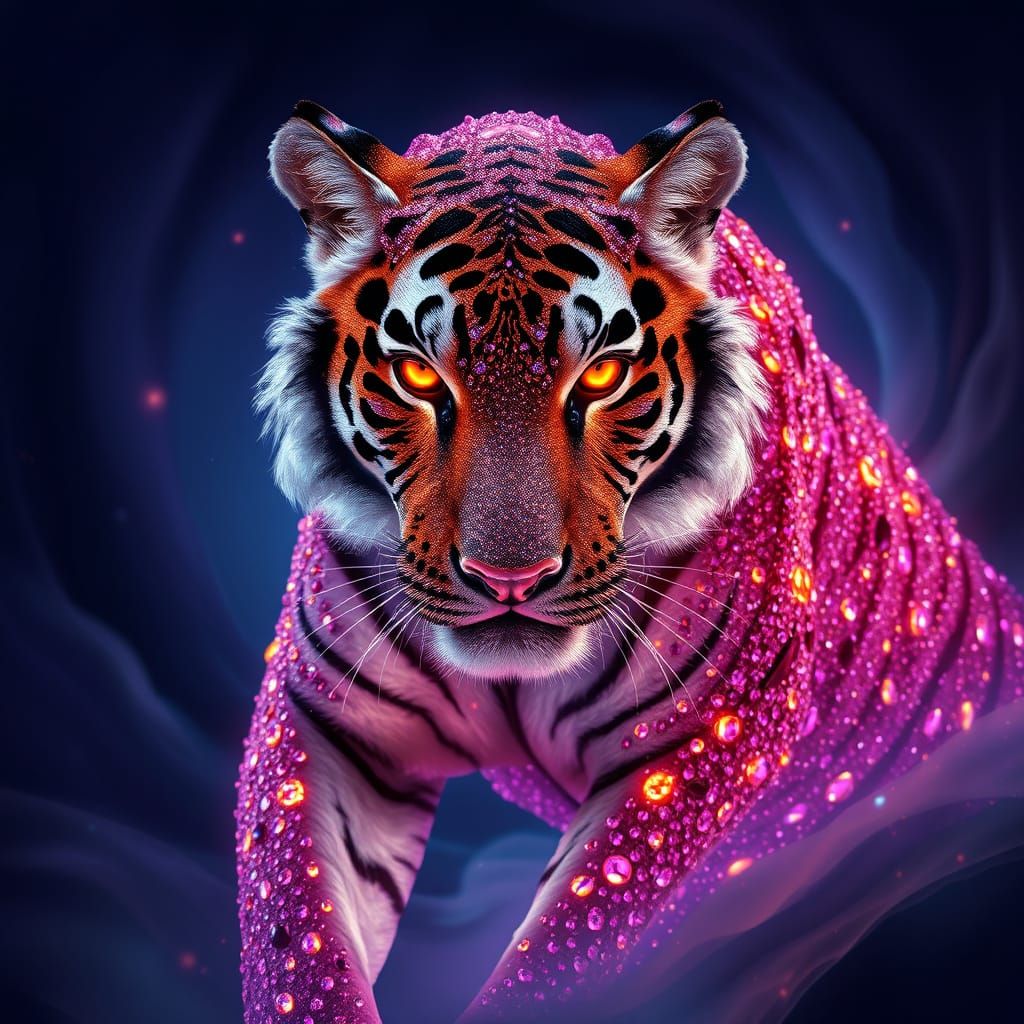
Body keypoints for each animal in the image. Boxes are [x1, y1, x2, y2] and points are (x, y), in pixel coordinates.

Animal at [235, 101, 1024, 1022]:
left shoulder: (708, 736)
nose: (509, 581)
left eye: (603, 375)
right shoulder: (325, 723)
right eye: (420, 378)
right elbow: (299, 941)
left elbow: (558, 959)